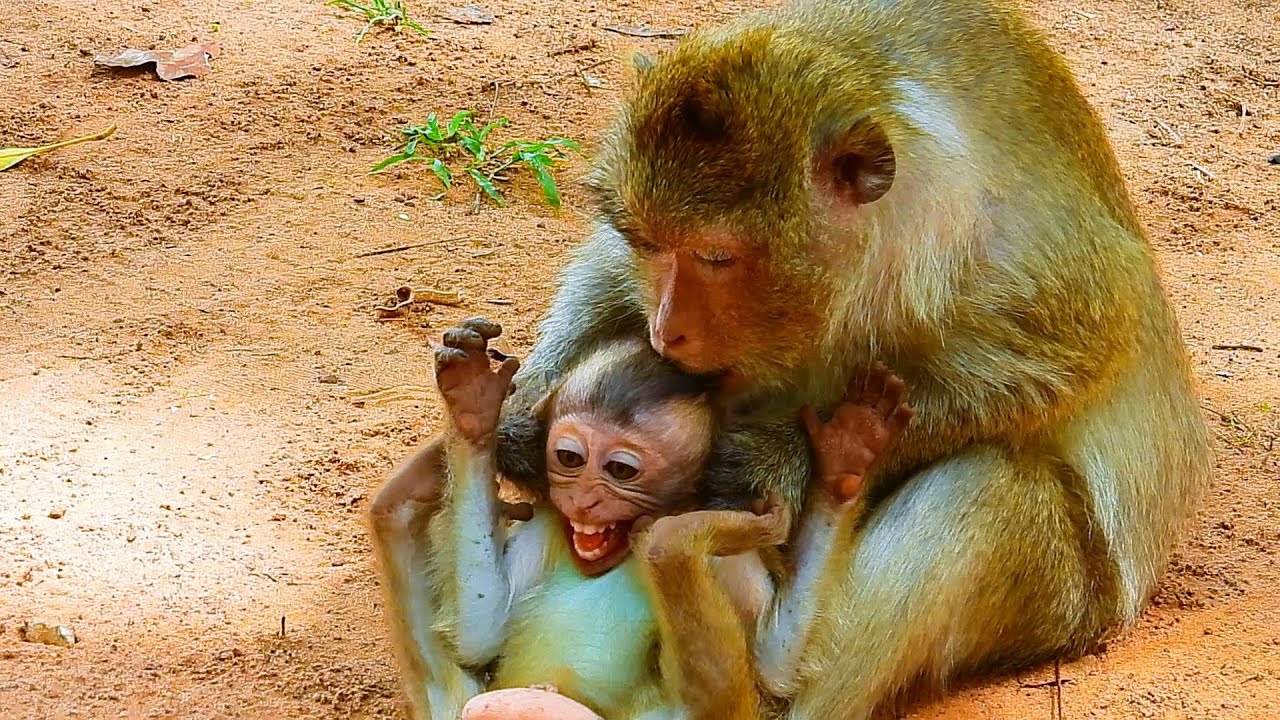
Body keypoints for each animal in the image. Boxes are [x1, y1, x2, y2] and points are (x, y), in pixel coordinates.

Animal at [373, 317, 913, 720]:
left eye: (619, 470)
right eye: (569, 459)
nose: (583, 501)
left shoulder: (736, 561)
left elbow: (776, 667)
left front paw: (846, 461)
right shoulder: (547, 522)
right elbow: (478, 636)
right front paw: (473, 414)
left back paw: (675, 543)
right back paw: (405, 496)